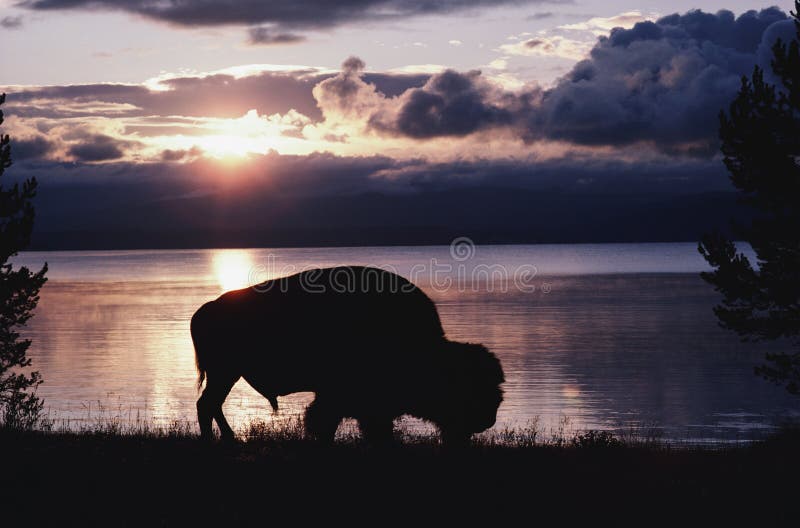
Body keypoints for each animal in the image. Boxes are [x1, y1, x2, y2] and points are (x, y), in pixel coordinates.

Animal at [191, 266, 504, 445]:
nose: (488, 420)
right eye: (472, 386)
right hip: (224, 373)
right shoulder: (340, 398)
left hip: (227, 374)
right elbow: (327, 422)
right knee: (206, 404)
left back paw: (228, 438)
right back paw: (216, 441)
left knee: (211, 404)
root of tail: (206, 309)